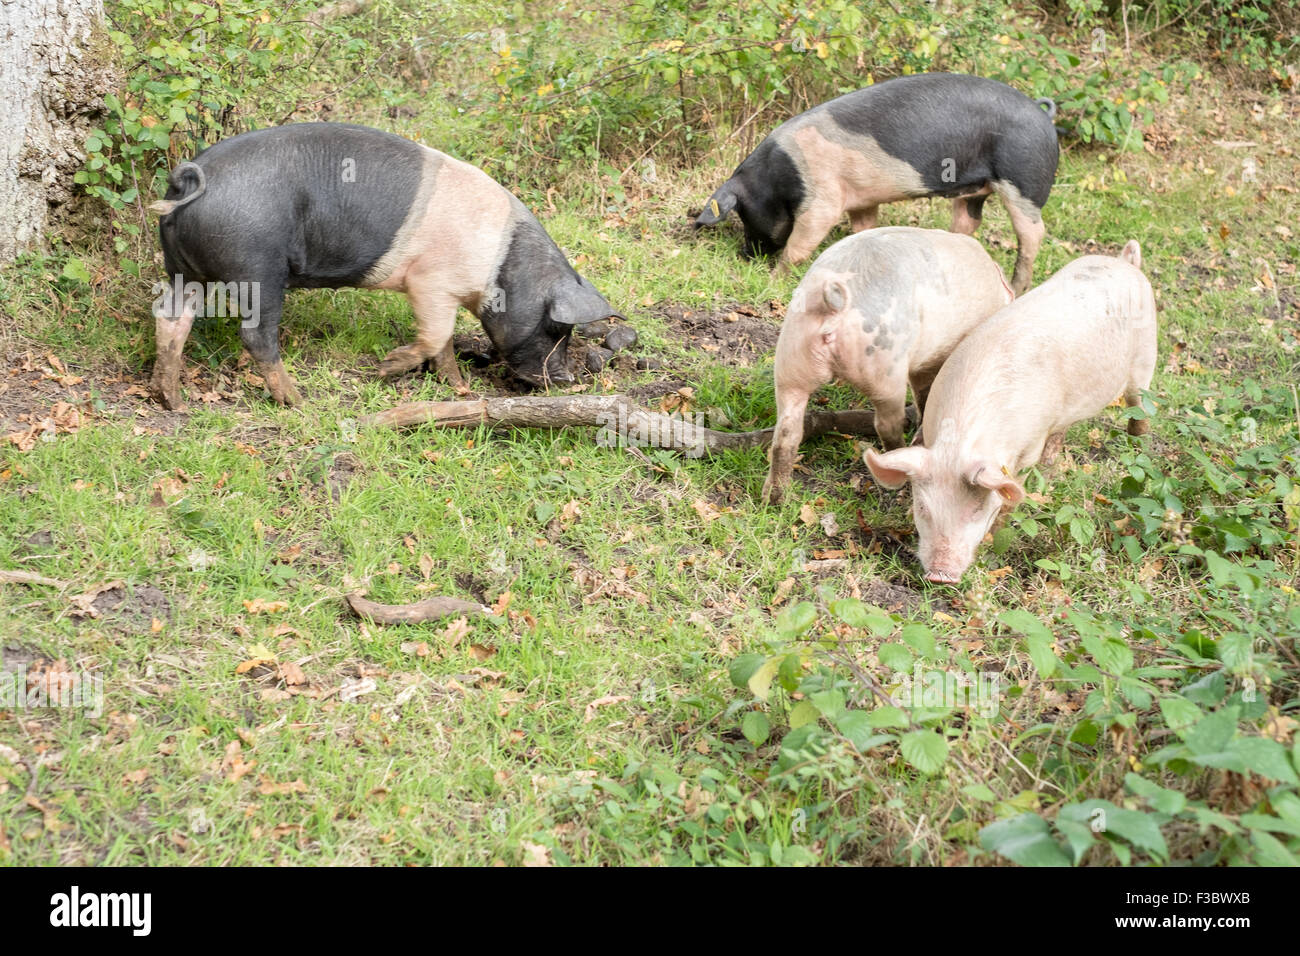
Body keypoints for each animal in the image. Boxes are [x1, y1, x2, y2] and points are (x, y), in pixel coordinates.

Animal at [149, 123, 619, 409]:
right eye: (555, 327)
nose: (565, 380)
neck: (498, 267)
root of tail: (190, 183)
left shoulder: (442, 292)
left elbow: (445, 343)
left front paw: (459, 387)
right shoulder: (431, 281)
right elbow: (434, 337)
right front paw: (384, 368)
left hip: (181, 269)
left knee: (171, 318)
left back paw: (173, 401)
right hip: (257, 269)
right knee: (255, 334)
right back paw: (298, 401)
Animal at [694, 73, 1059, 294]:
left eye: (743, 213)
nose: (745, 255)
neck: (778, 176)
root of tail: (1043, 113)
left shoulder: (822, 198)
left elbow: (800, 244)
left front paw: (774, 281)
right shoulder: (862, 200)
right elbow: (863, 230)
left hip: (1025, 181)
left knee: (1032, 233)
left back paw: (1019, 287)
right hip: (972, 190)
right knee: (968, 221)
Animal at [762, 226, 1014, 506]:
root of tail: (834, 305)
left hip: (791, 357)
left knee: (787, 432)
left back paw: (774, 498)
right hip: (885, 367)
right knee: (885, 424)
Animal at [864, 241, 1157, 584]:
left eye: (977, 509)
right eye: (923, 508)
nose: (940, 575)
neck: (961, 440)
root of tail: (1126, 263)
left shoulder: (1026, 448)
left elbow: (1013, 491)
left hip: (1146, 358)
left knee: (1140, 407)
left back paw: (1137, 446)